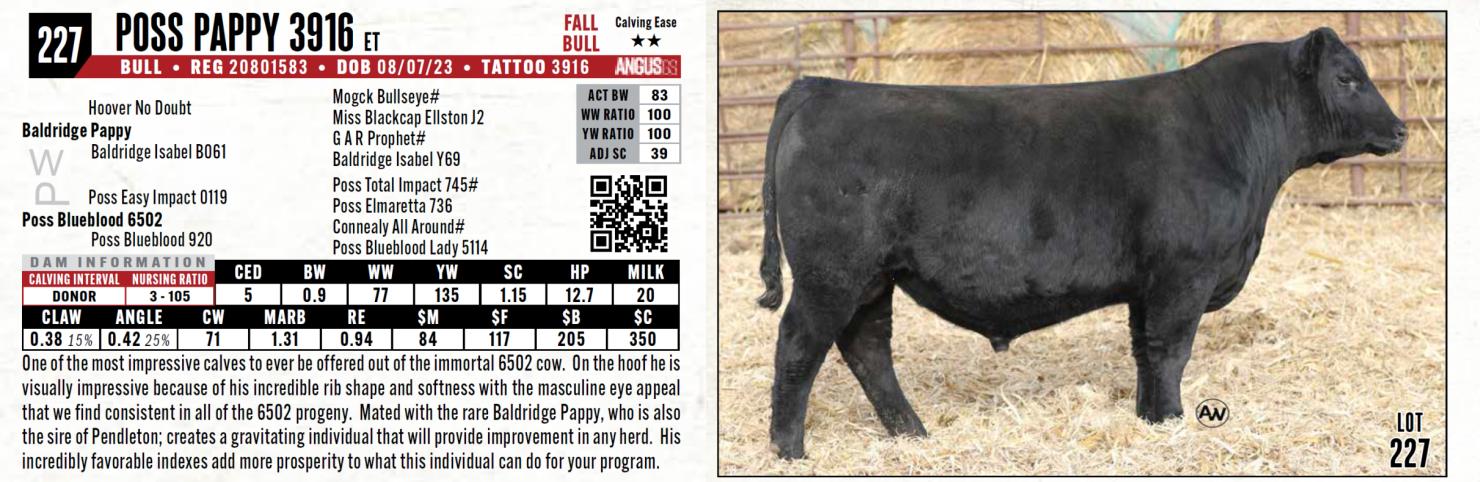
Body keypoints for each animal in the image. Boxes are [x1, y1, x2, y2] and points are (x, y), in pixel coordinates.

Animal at [753, 28, 1406, 459]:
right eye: (1348, 78)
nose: (1400, 129)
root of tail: (820, 87)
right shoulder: (1184, 275)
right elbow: (1172, 351)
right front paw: (1173, 422)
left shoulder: (1149, 284)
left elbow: (1145, 352)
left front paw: (1150, 419)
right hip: (832, 273)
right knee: (798, 346)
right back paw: (790, 450)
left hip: (872, 277)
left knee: (867, 348)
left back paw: (912, 434)